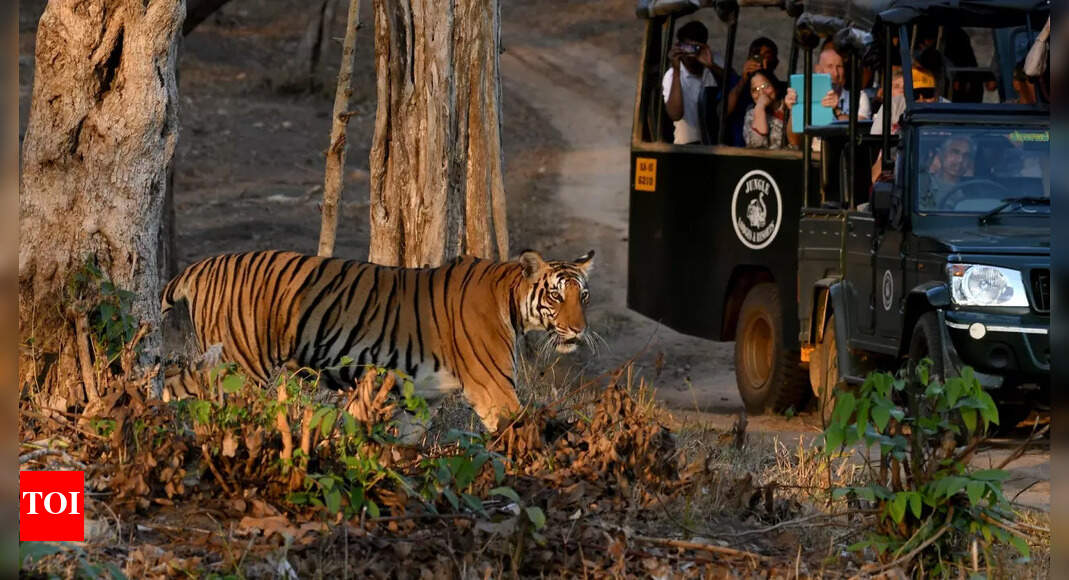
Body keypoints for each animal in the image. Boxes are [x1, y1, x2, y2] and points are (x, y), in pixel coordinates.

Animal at [160, 249, 595, 434]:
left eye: (583, 296)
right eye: (557, 296)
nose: (578, 330)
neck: (511, 300)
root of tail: (200, 266)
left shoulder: (421, 398)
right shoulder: (494, 390)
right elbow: (522, 436)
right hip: (238, 364)